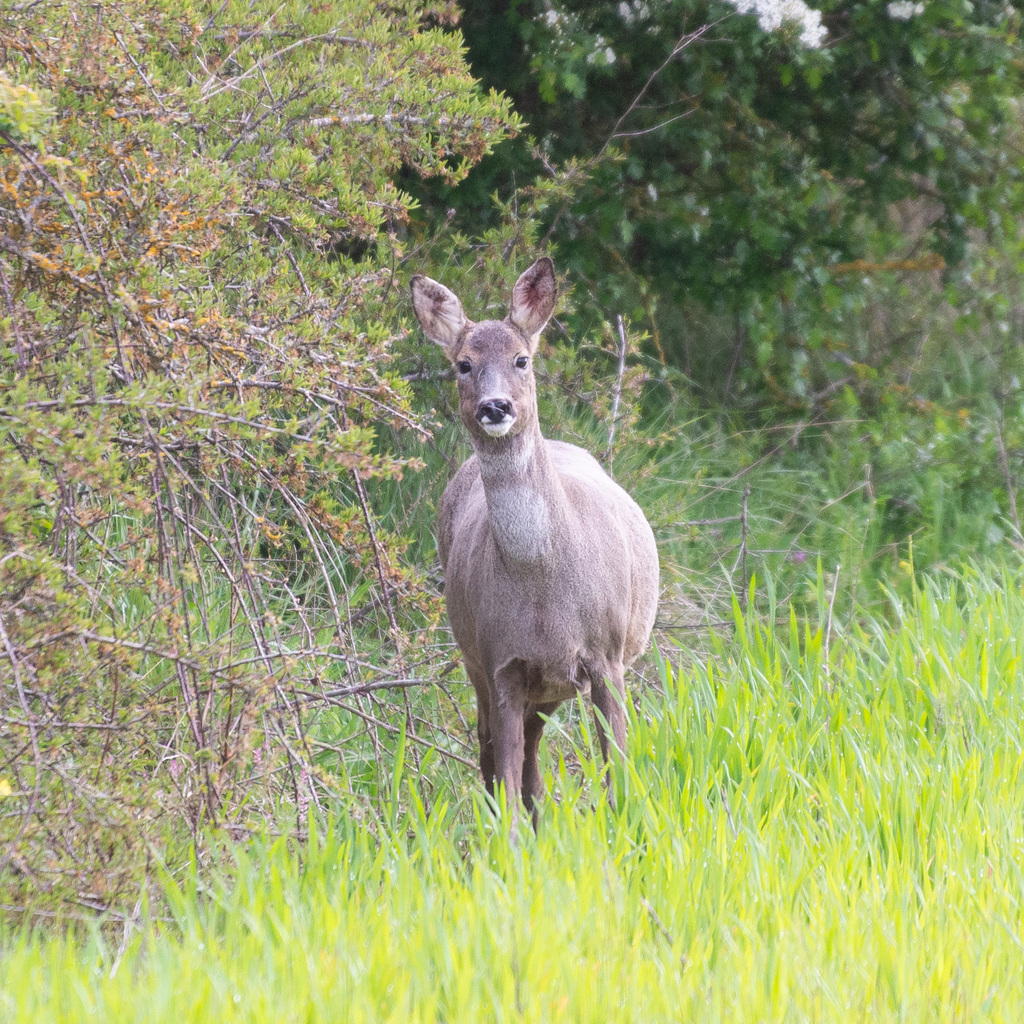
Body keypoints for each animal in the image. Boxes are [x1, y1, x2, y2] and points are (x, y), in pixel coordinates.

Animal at [411, 257, 659, 829]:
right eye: (463, 364)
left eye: (522, 359)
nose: (495, 406)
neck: (544, 586)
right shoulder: (501, 660)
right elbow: (503, 769)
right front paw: (509, 840)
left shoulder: (607, 655)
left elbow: (618, 771)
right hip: (479, 660)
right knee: (500, 753)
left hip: (554, 683)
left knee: (532, 752)